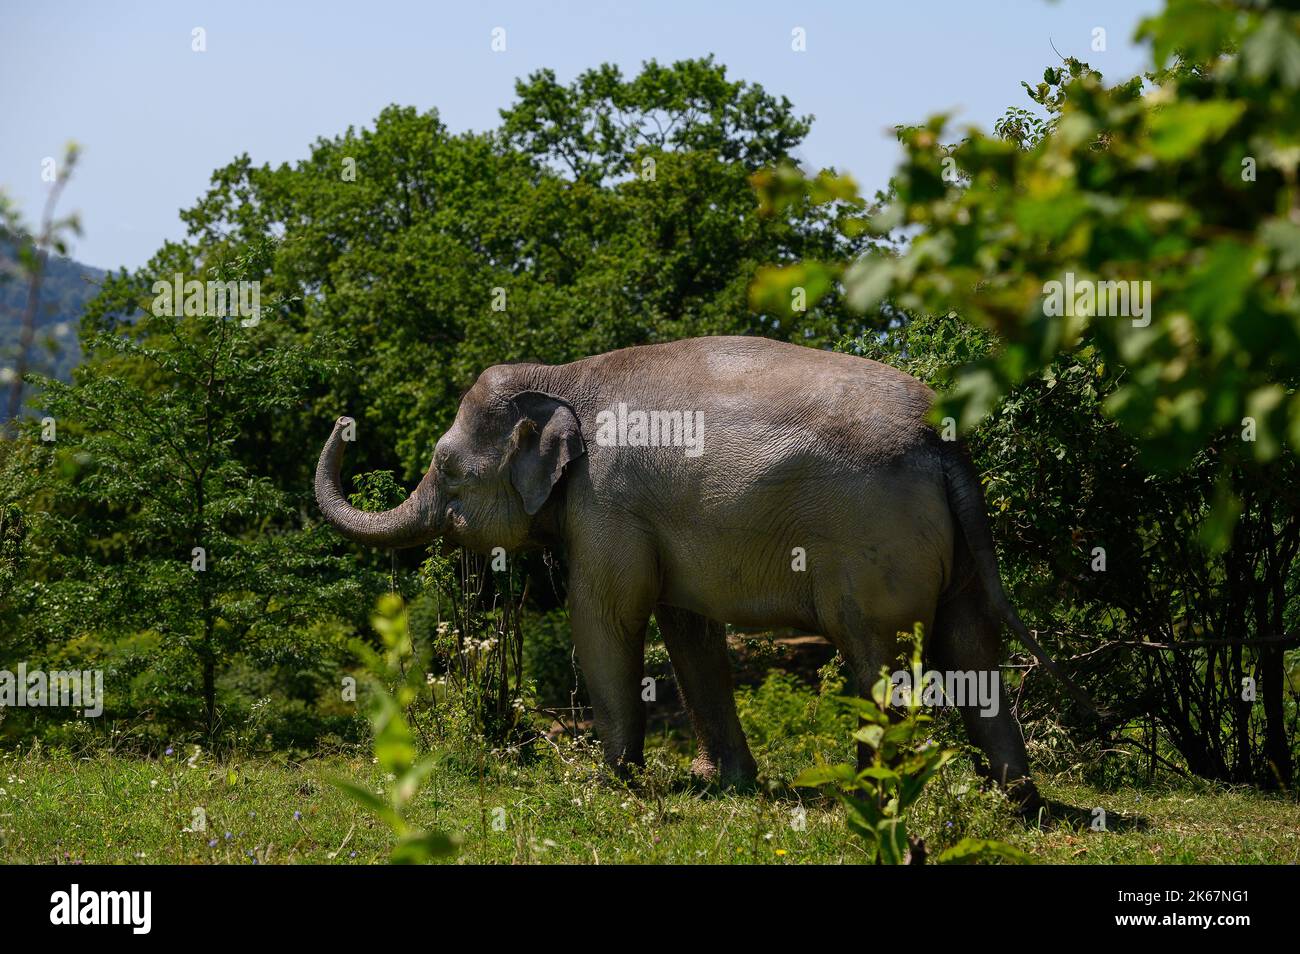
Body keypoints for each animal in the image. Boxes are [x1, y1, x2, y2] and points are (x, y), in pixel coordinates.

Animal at [316, 335, 1087, 808]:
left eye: (447, 468)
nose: (344, 417)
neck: (564, 375)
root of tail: (946, 444)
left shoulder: (607, 503)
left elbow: (607, 617)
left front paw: (612, 782)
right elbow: (687, 628)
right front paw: (720, 783)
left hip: (874, 543)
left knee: (876, 652)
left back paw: (872, 795)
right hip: (955, 550)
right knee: (972, 643)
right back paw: (1016, 800)